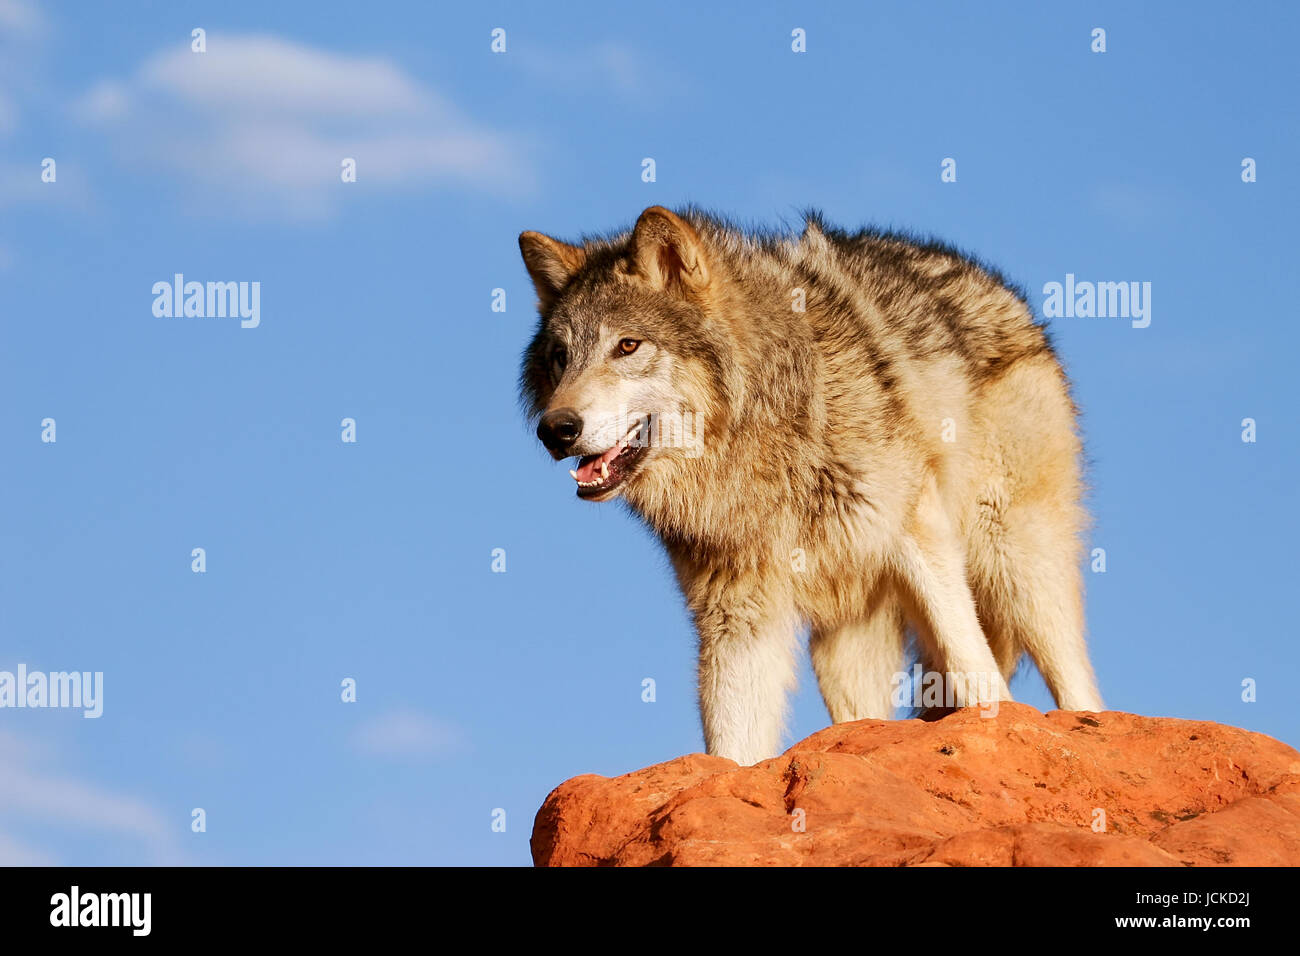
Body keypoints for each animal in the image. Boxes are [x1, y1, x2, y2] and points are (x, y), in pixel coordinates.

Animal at [518, 206, 1103, 765]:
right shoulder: (737, 616)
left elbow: (975, 666)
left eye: (627, 345)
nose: (555, 429)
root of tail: (1007, 297)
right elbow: (732, 745)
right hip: (845, 642)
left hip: (1016, 563)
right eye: (561, 356)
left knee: (1081, 690)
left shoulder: (916, 531)